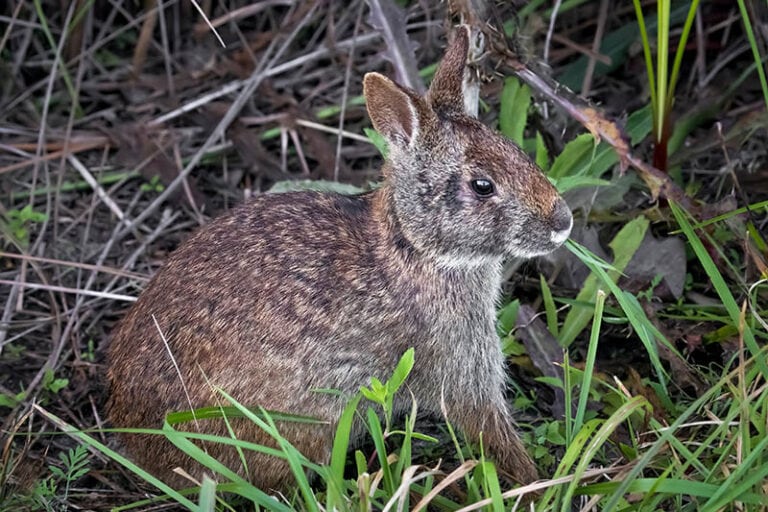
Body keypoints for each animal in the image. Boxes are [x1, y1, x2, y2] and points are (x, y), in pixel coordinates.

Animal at [106, 26, 573, 492]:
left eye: (515, 149)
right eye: (482, 186)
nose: (563, 221)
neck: (416, 247)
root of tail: (138, 440)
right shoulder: (457, 360)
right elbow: (486, 424)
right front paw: (536, 482)